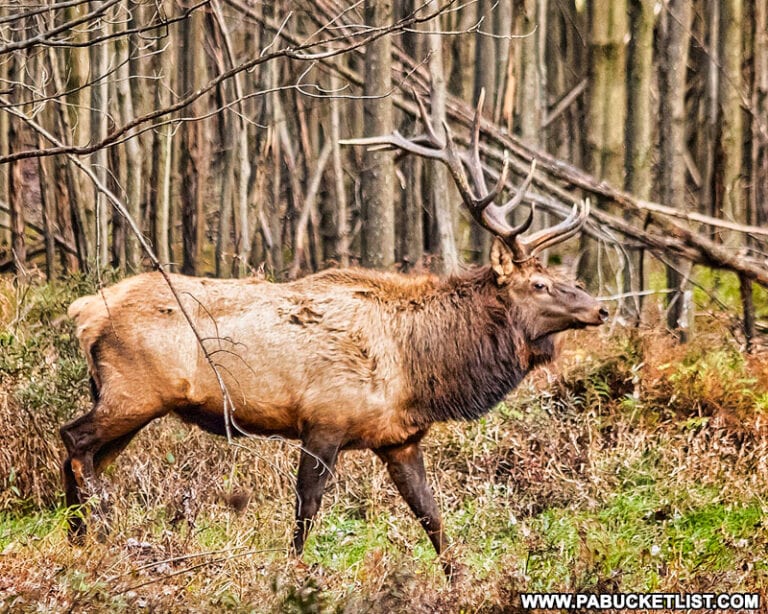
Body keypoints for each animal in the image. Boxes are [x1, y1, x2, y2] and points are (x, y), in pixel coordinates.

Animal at [60, 95, 607, 578]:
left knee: (85, 456)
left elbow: (431, 515)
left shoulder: (399, 439)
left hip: (127, 400)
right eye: (539, 284)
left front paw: (459, 578)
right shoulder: (323, 419)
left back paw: (78, 538)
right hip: (135, 391)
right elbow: (307, 508)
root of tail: (84, 311)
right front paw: (295, 571)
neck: (417, 372)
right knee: (74, 440)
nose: (600, 307)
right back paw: (96, 532)